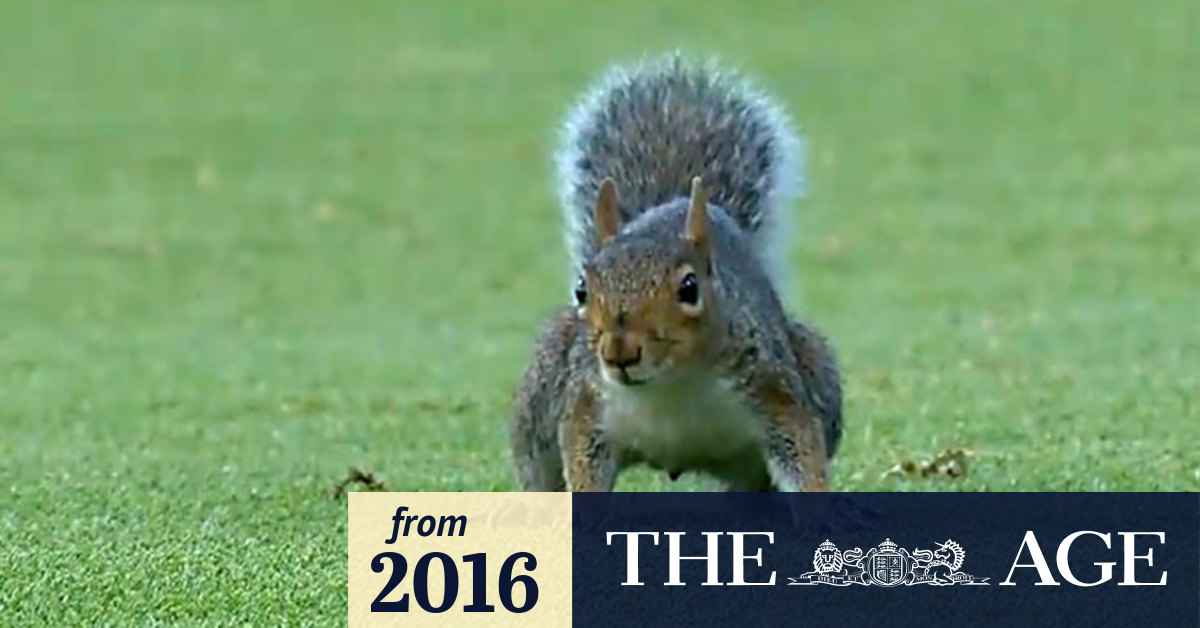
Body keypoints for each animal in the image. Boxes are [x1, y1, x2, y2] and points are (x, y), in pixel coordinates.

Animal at [510, 54, 842, 492]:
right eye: (582, 289)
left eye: (689, 288)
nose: (619, 353)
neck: (669, 386)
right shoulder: (585, 408)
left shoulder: (778, 394)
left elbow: (804, 458)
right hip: (540, 392)